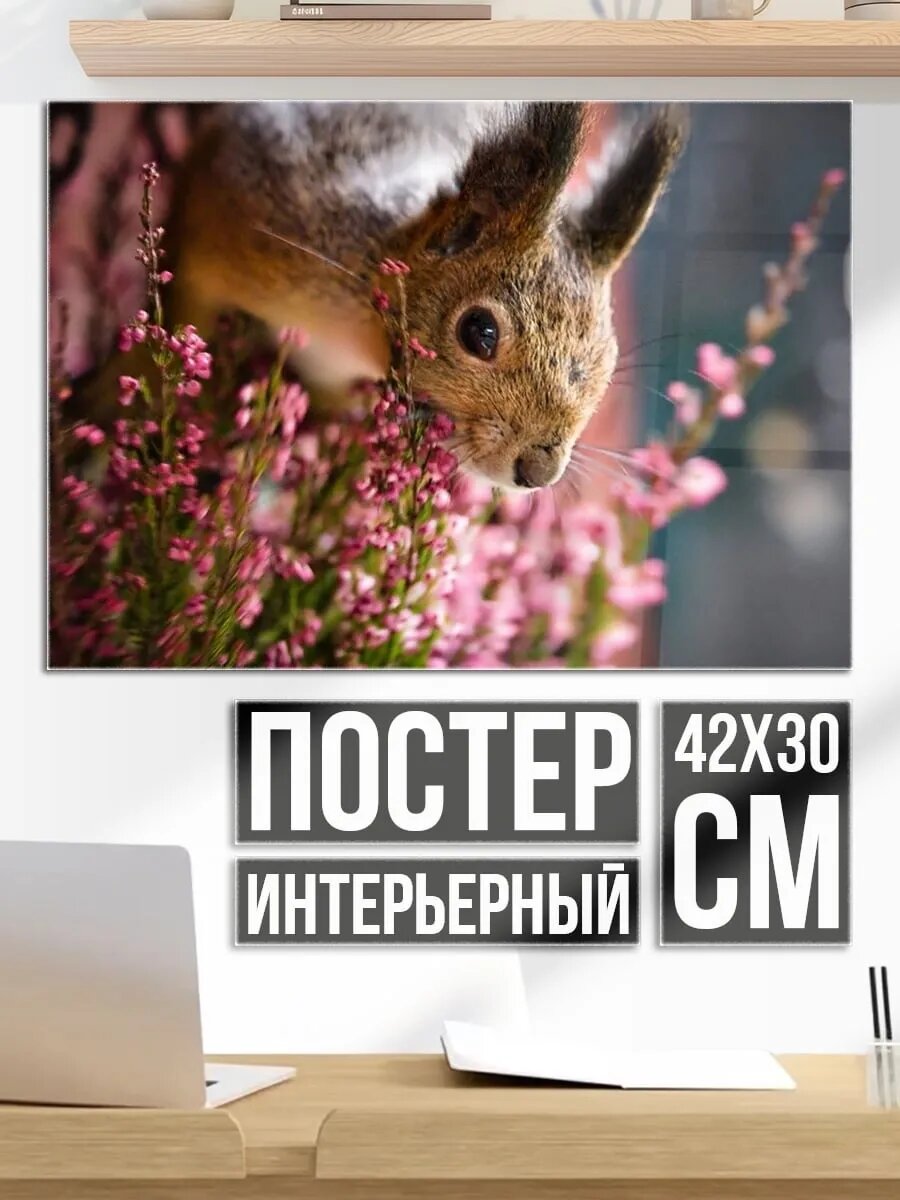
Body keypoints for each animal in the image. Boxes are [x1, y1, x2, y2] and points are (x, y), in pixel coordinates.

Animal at [162, 101, 686, 491]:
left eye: (608, 360)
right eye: (479, 332)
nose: (538, 473)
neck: (356, 338)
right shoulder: (225, 239)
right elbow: (188, 303)